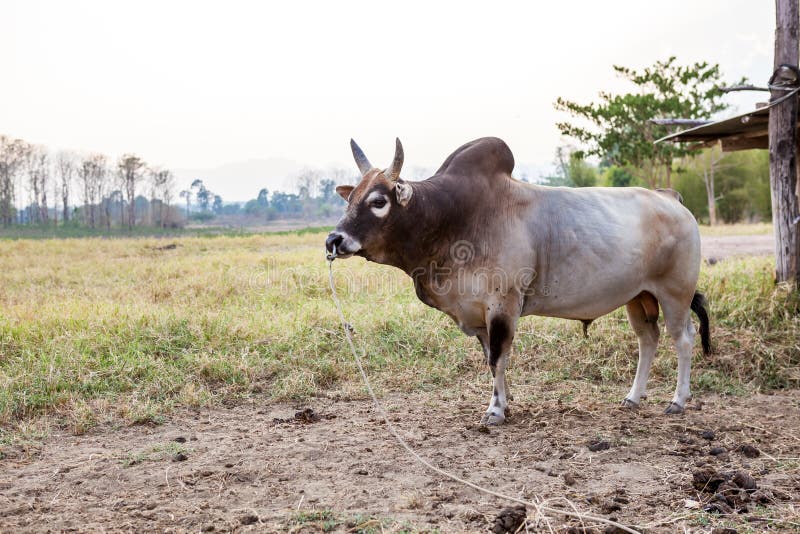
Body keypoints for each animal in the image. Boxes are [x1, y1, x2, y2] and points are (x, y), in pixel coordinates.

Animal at [326, 137, 710, 425]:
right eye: (350, 198)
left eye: (378, 201)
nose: (334, 240)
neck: (452, 219)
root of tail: (670, 198)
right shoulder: (478, 313)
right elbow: (491, 358)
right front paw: (506, 402)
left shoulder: (503, 306)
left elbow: (497, 357)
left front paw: (495, 410)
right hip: (638, 296)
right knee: (648, 339)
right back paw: (632, 398)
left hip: (674, 293)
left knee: (683, 339)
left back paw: (677, 401)